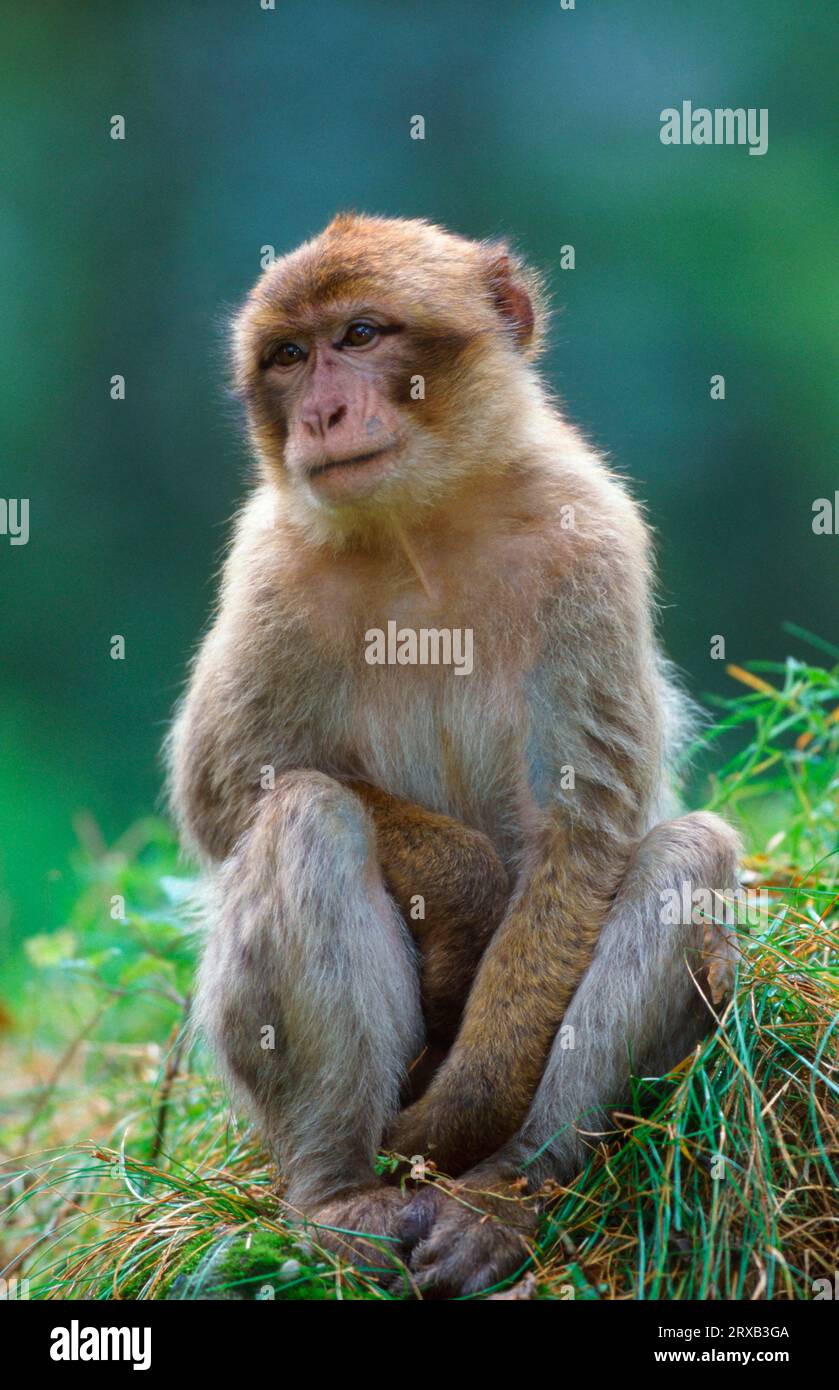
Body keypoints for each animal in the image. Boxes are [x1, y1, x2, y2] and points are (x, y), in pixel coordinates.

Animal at [168, 213, 741, 1296]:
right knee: (308, 813)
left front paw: (470, 1102)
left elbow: (578, 833)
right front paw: (466, 892)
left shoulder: (591, 541)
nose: (321, 412)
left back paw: (508, 1186)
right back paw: (335, 1195)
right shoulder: (269, 565)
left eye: (358, 335)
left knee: (693, 855)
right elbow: (226, 789)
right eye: (288, 356)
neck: (422, 527)